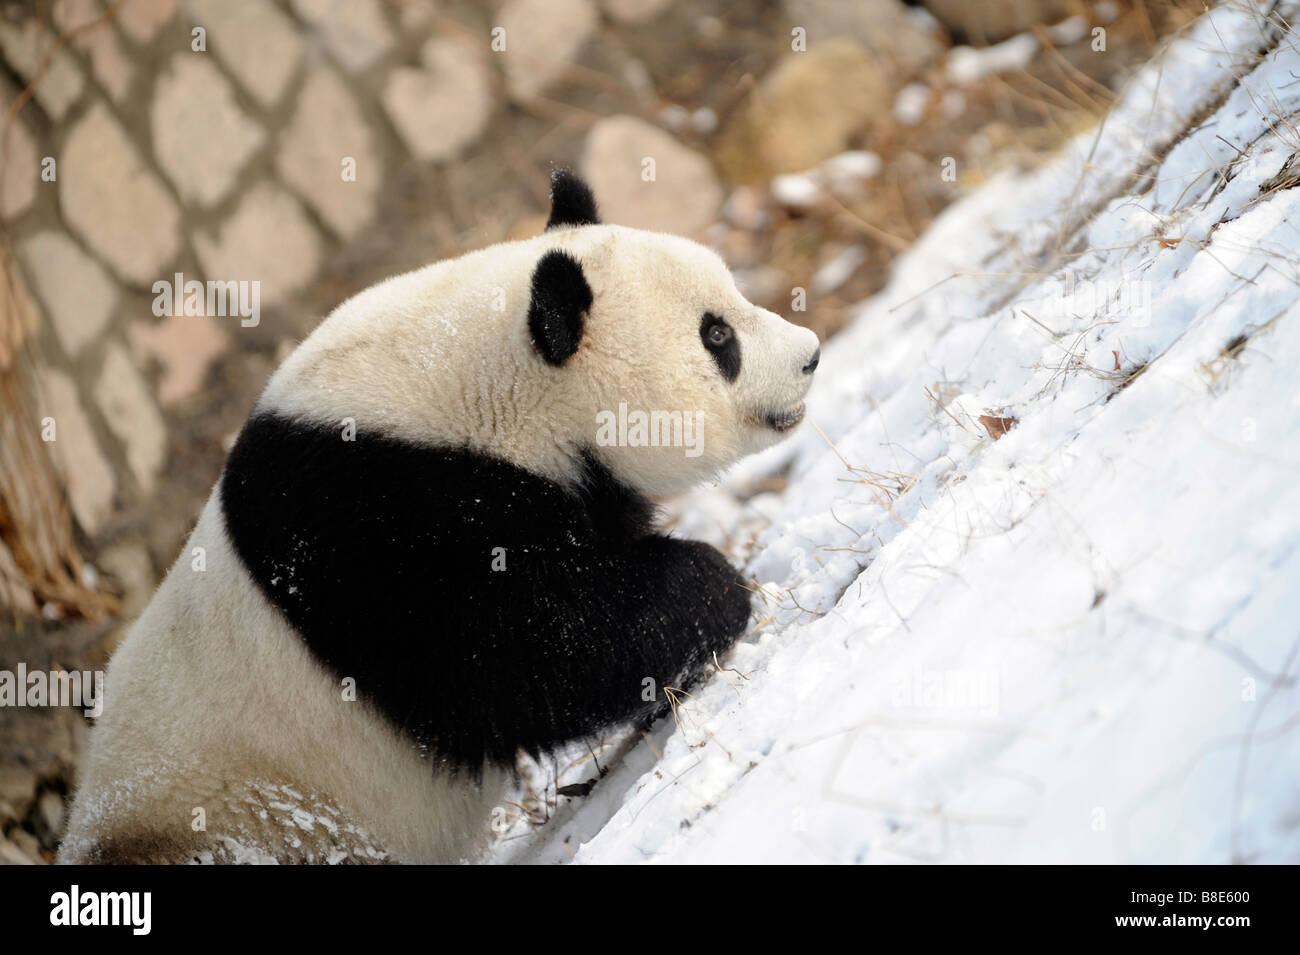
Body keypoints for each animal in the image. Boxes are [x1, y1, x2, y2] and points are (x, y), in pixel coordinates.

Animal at [60, 169, 820, 864]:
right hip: (234, 817)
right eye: (717, 336)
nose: (811, 353)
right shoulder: (384, 529)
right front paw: (712, 592)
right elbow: (533, 650)